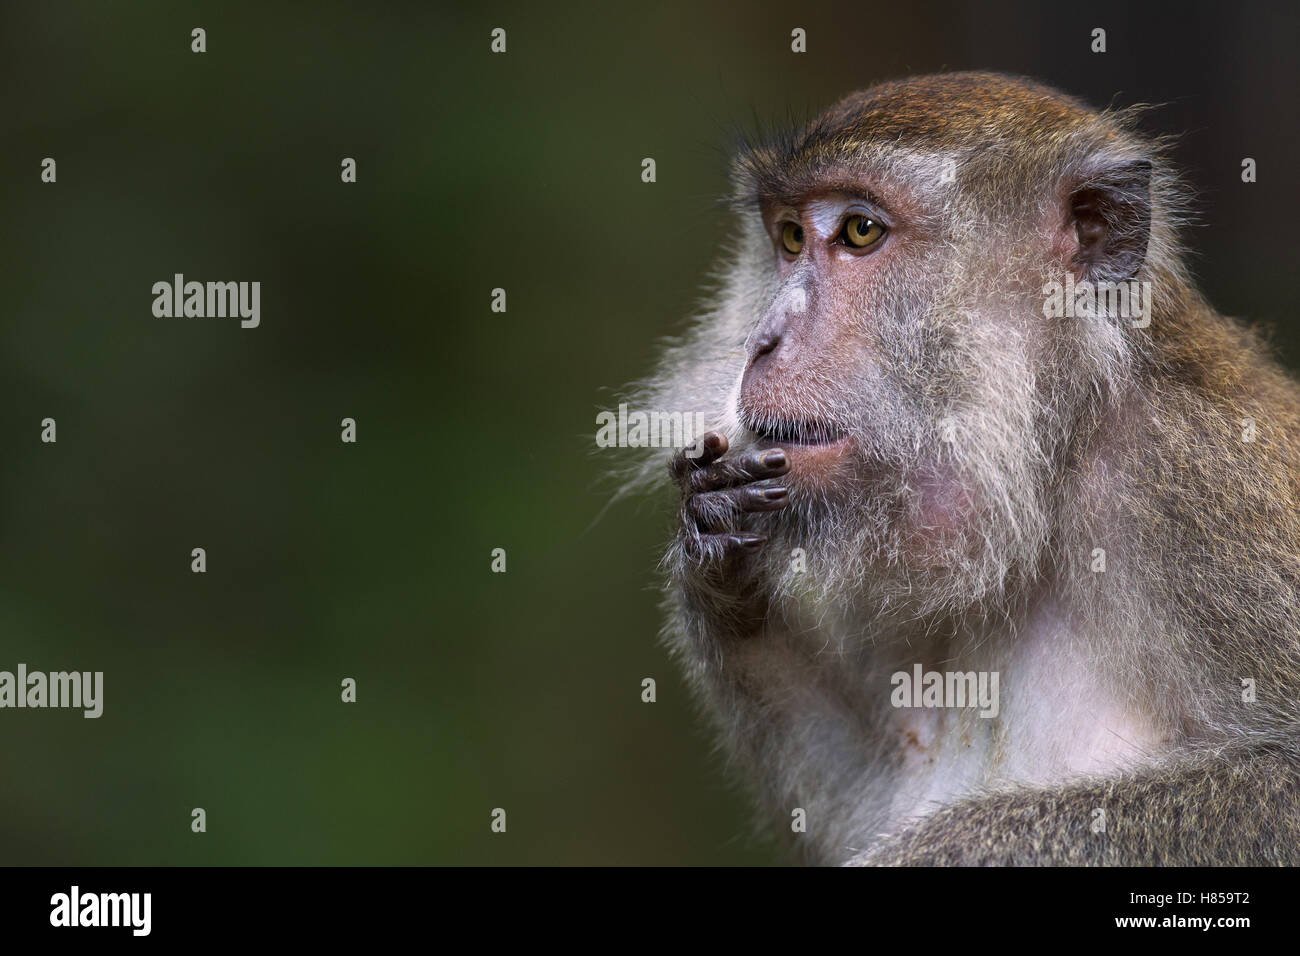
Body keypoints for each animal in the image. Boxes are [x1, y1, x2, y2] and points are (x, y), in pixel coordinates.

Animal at [623, 72, 1300, 865]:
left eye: (859, 231)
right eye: (789, 238)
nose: (764, 340)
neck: (1052, 459)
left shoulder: (1194, 481)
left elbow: (1280, 783)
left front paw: (938, 848)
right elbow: (864, 796)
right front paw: (719, 554)